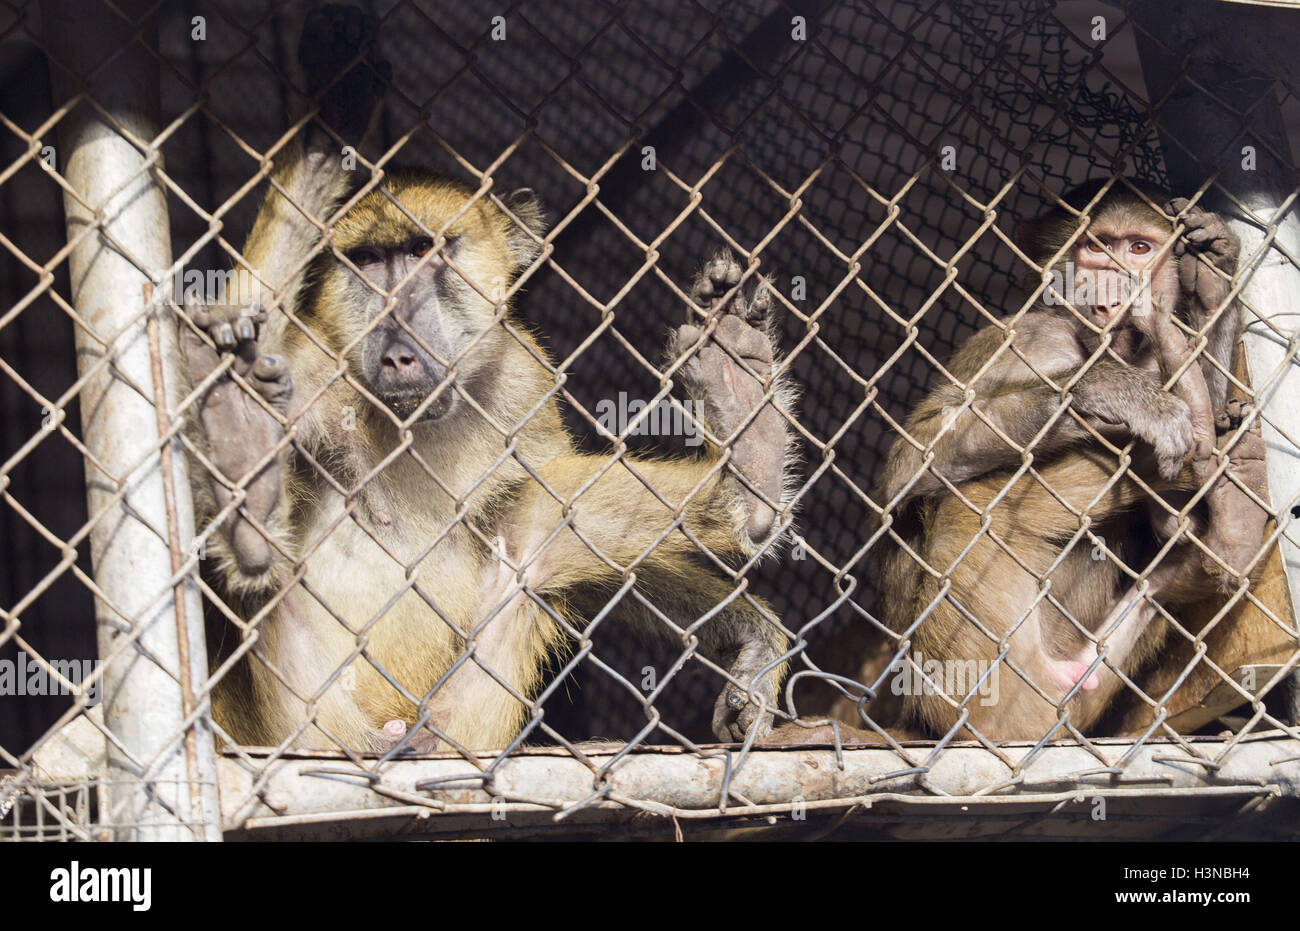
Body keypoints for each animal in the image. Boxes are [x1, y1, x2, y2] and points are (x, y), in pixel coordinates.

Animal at [181, 6, 794, 754]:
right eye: (369, 261)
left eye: (426, 250)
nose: (399, 353)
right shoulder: (308, 367)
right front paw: (329, 122)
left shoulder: (521, 386)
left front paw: (749, 634)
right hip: (309, 726)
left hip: (463, 719)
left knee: (538, 532)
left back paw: (749, 457)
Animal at [813, 179, 1273, 740]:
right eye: (1097, 246)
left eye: (1139, 248)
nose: (1112, 289)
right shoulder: (1032, 339)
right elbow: (912, 462)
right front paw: (1109, 392)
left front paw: (1213, 275)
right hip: (977, 673)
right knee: (972, 508)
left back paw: (1229, 529)